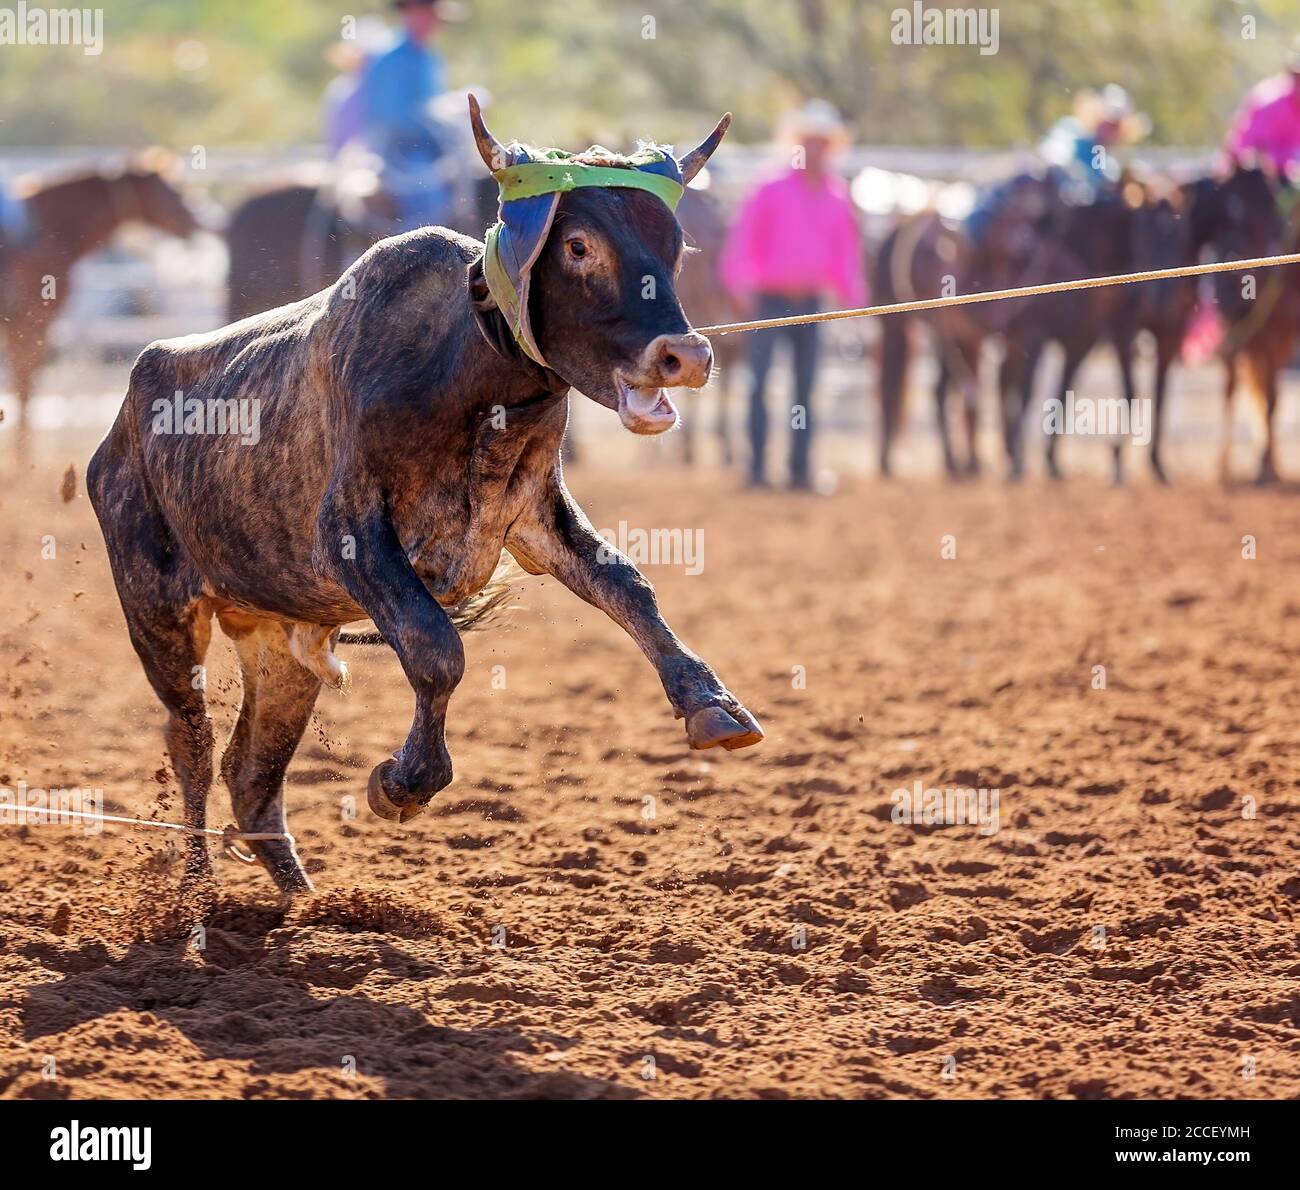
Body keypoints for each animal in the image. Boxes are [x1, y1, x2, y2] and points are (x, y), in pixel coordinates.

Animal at [88, 97, 763, 898]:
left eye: (676, 246)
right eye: (577, 246)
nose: (684, 355)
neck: (467, 367)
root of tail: (122, 424)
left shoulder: (532, 516)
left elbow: (628, 587)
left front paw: (713, 705)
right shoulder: (350, 533)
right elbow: (436, 647)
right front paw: (405, 781)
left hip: (280, 644)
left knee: (251, 773)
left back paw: (305, 904)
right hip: (158, 614)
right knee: (191, 740)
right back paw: (194, 892)